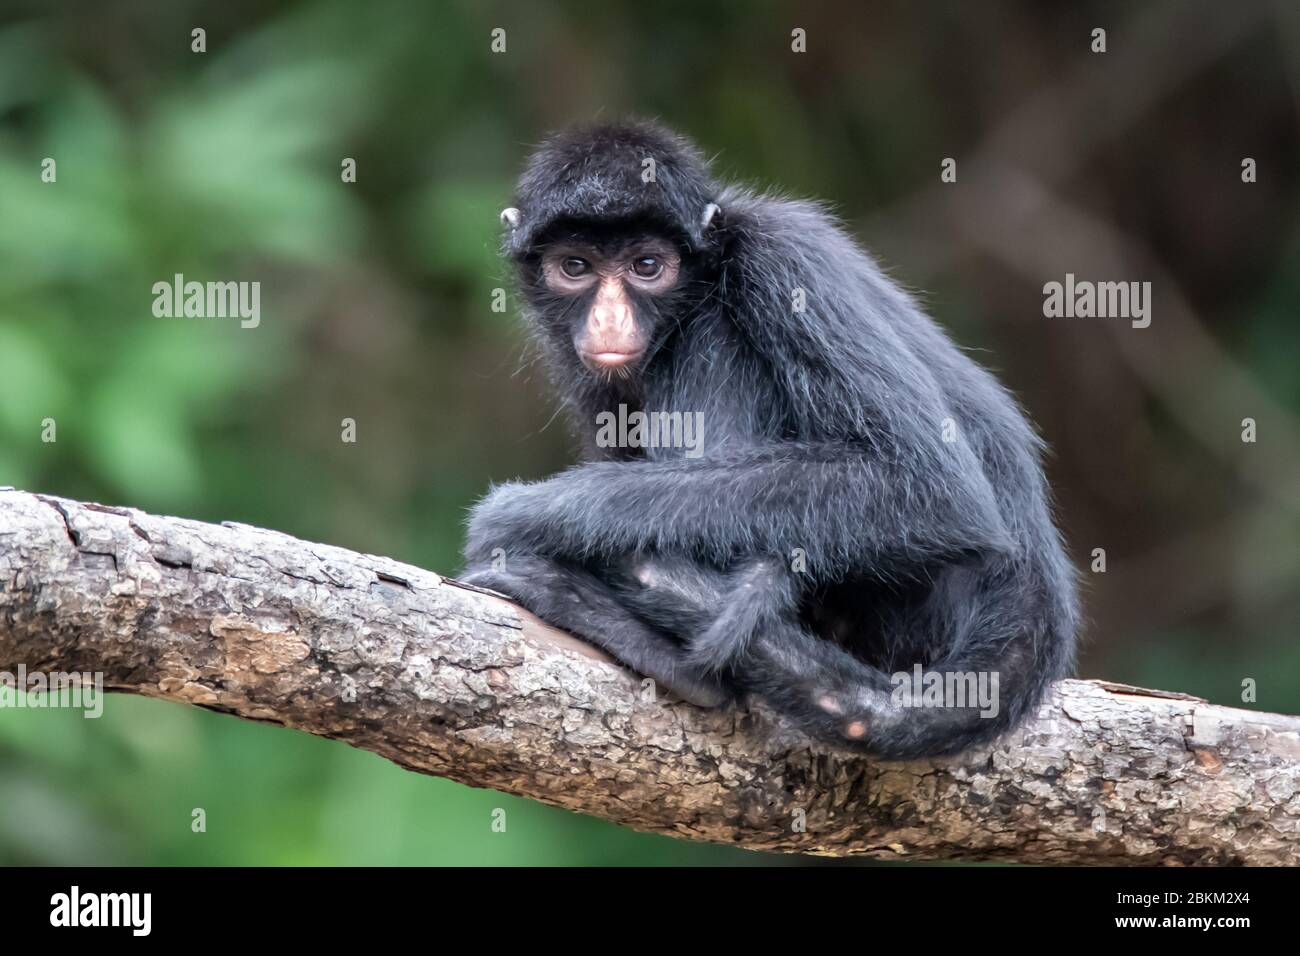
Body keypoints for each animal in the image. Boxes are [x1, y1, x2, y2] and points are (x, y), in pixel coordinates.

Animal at [459, 120, 1079, 759]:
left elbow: (936, 491)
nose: (610, 320)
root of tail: (1036, 589)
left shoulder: (784, 254)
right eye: (576, 267)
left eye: (647, 265)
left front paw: (530, 515)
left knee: (712, 326)